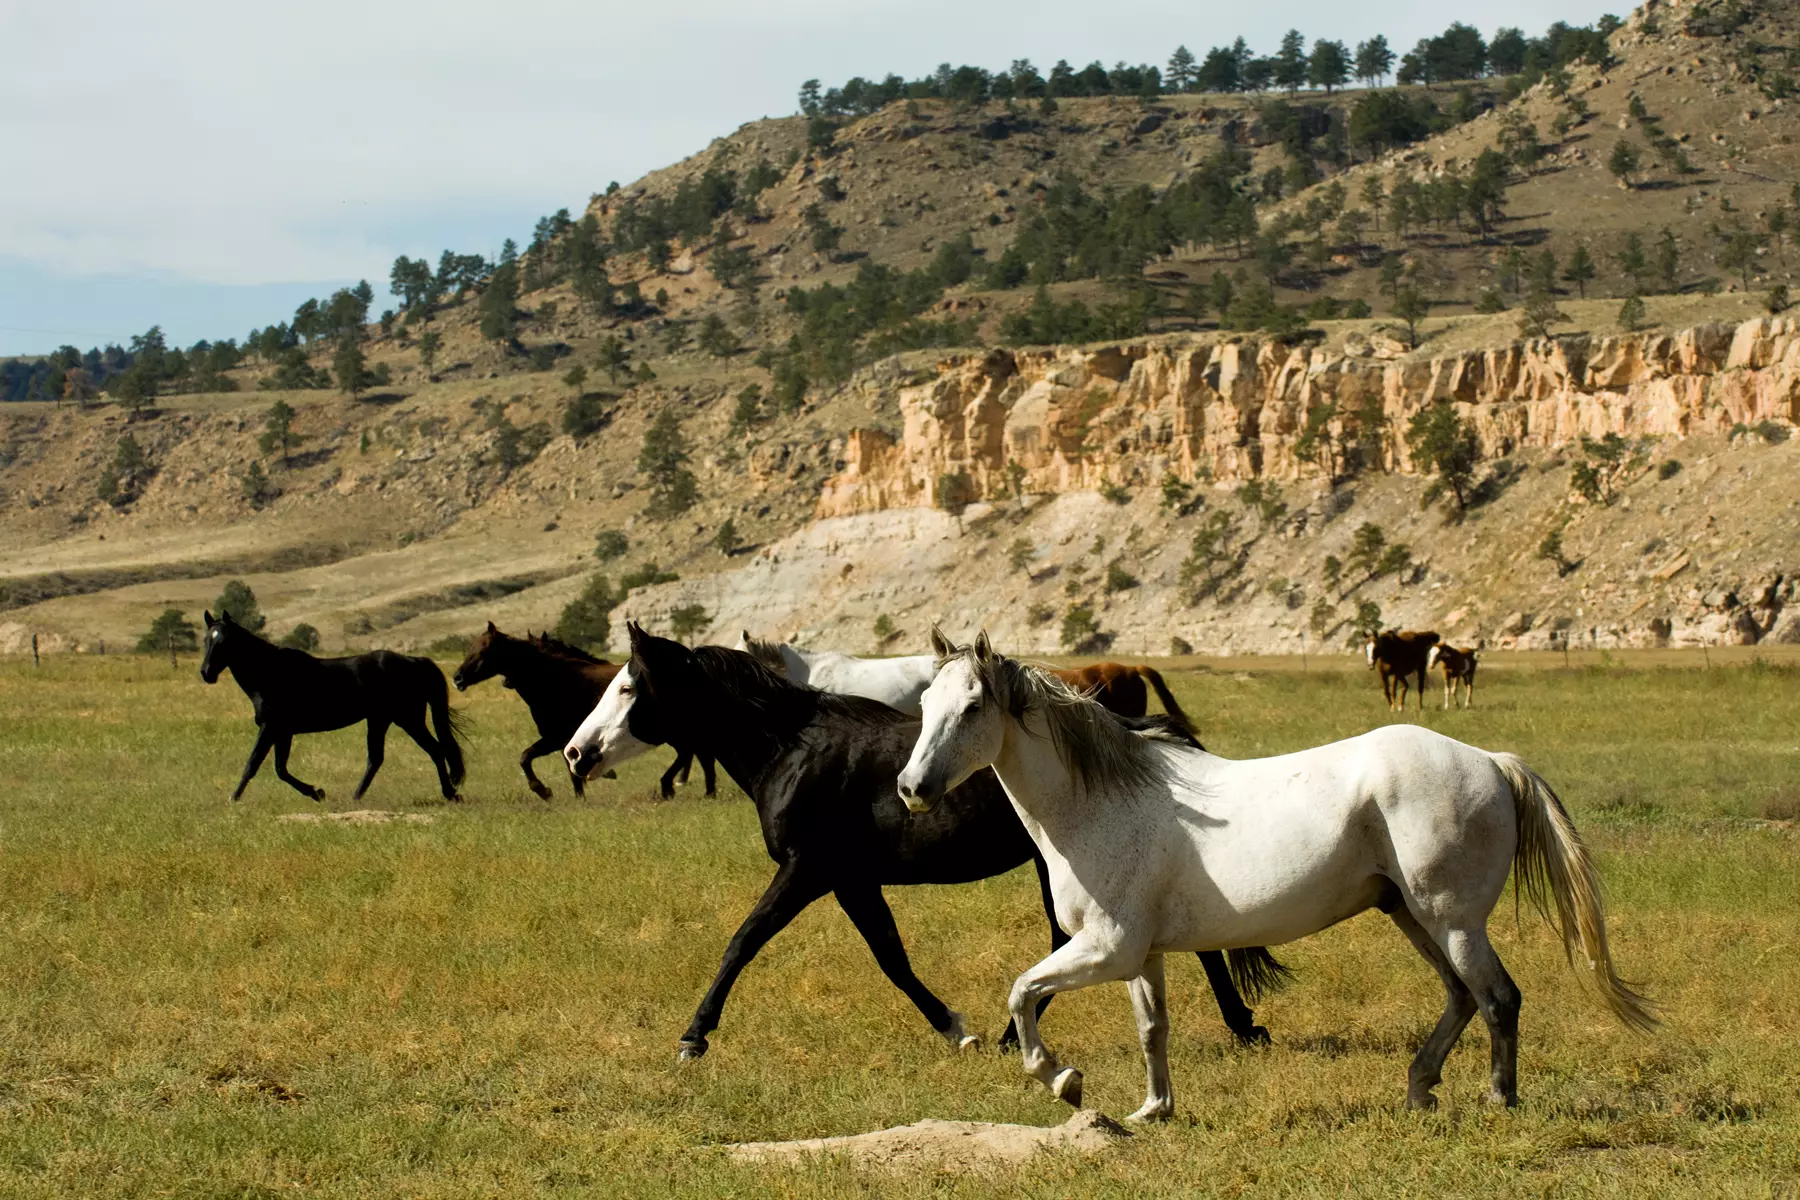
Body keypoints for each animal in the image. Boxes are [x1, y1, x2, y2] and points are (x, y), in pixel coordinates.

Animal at [198, 615, 464, 802]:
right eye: (206, 640)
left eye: (224, 641)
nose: (206, 673)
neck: (269, 673)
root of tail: (414, 661)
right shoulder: (283, 732)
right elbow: (280, 769)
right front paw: (317, 793)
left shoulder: (271, 728)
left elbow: (253, 765)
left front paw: (233, 798)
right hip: (380, 720)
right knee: (377, 759)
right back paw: (356, 797)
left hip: (407, 719)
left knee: (434, 750)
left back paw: (450, 794)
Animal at [453, 626, 712, 802]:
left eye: (483, 651)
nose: (457, 679)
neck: (557, 681)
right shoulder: (564, 742)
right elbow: (565, 768)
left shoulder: (556, 738)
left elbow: (528, 758)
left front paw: (544, 791)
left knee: (691, 752)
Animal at [892, 629, 1648, 1129]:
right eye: (925, 705)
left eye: (973, 709)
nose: (911, 789)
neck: (1101, 803)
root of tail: (1490, 761)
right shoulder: (1140, 956)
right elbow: (1152, 1029)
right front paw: (1154, 1109)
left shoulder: (1105, 949)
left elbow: (1022, 993)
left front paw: (1064, 1081)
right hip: (1411, 915)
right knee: (1463, 998)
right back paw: (1418, 1089)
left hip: (1453, 921)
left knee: (1497, 998)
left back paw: (1498, 1098)